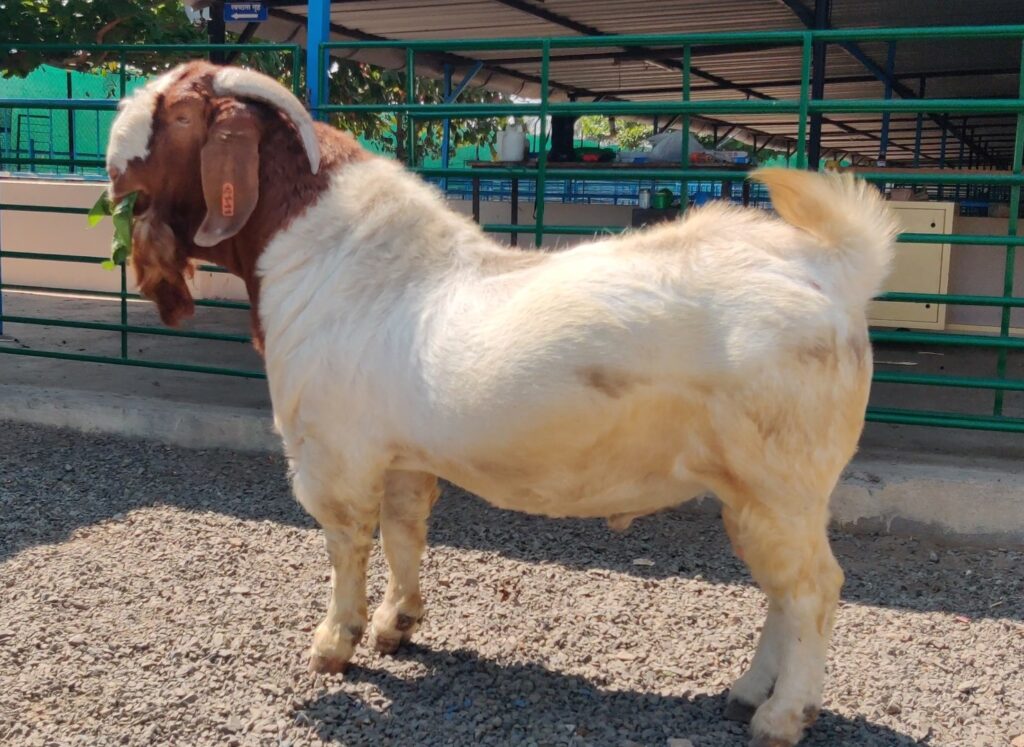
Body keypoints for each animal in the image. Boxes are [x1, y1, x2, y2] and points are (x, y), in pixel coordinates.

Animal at [105, 61, 897, 747]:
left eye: (180, 115)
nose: (112, 166)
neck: (327, 258)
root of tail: (834, 269)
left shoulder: (333, 454)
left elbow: (347, 545)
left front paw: (333, 645)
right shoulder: (402, 456)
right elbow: (404, 533)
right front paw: (398, 625)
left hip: (780, 481)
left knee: (814, 589)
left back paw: (782, 716)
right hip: (757, 493)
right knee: (782, 591)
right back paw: (746, 691)